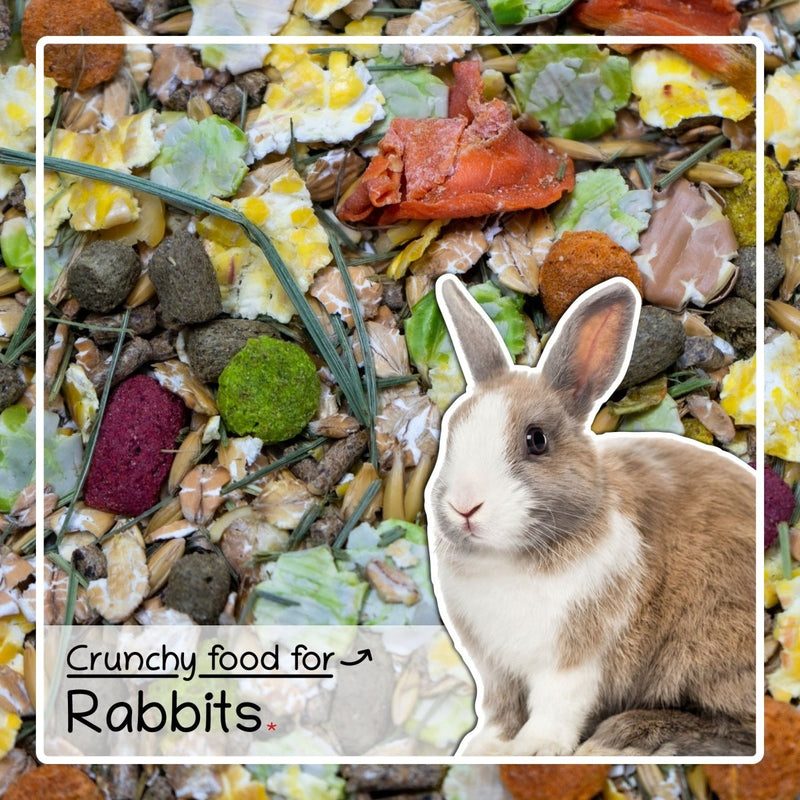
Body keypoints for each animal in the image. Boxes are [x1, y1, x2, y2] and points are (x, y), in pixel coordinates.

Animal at [424, 275, 756, 757]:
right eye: (453, 431)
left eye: (537, 440)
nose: (465, 506)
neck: (509, 559)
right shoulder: (496, 669)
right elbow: (502, 710)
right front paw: (484, 747)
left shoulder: (575, 661)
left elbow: (557, 705)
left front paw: (535, 750)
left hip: (709, 647)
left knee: (734, 726)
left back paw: (623, 737)